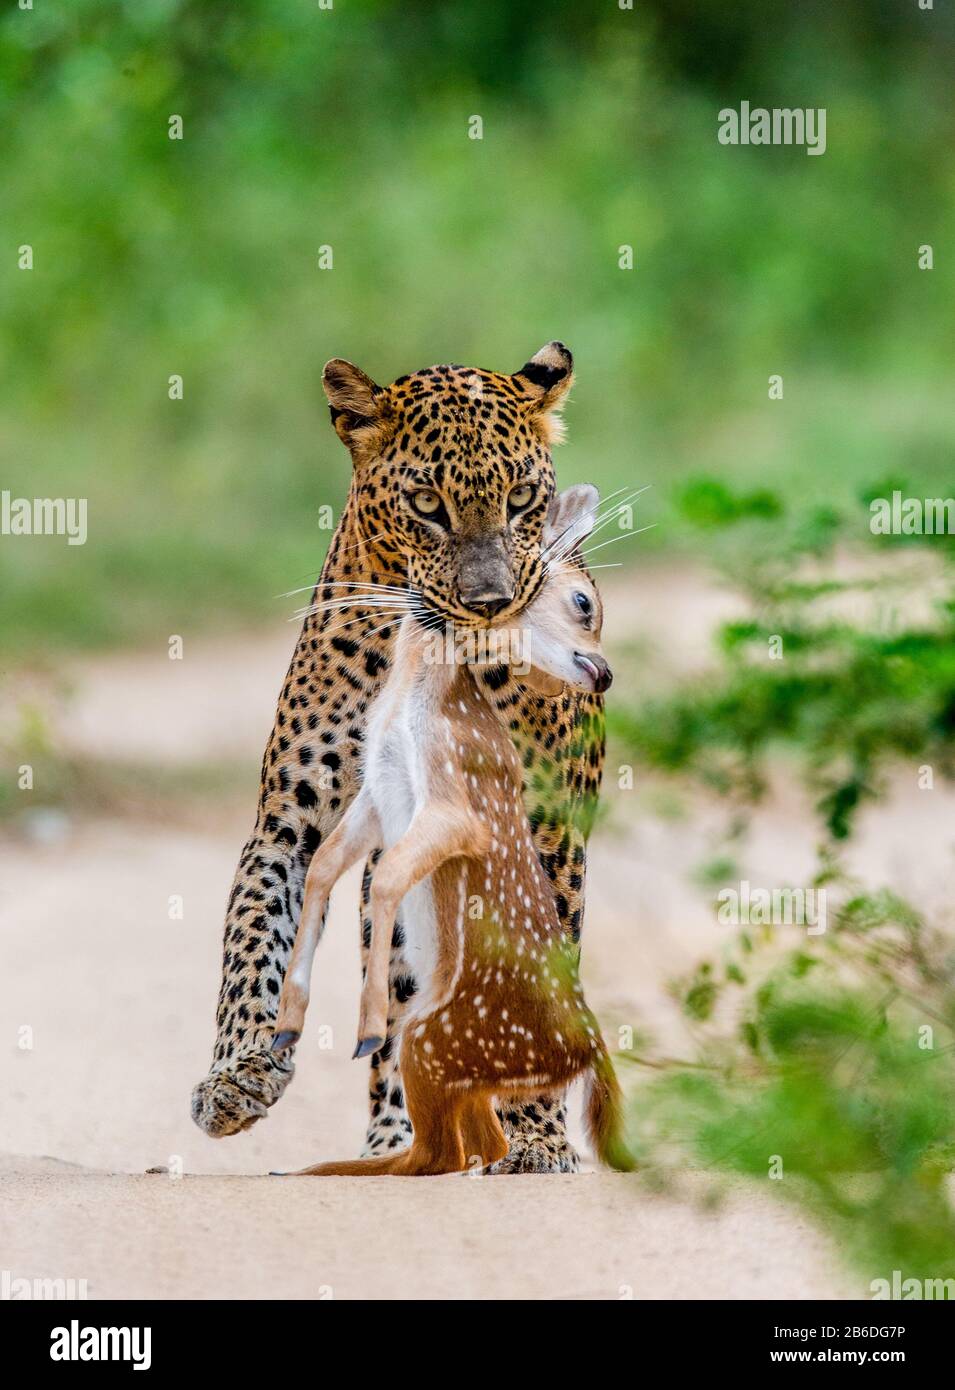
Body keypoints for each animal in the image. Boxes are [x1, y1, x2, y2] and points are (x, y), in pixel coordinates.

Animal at [190, 340, 606, 1173]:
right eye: (425, 505)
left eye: (520, 499)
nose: (489, 603)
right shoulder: (290, 819)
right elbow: (251, 936)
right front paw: (235, 1074)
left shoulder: (546, 829)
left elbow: (539, 981)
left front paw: (537, 1139)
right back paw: (398, 1133)